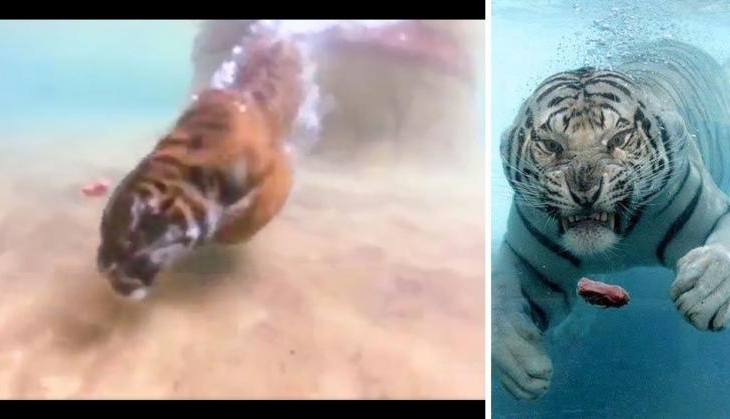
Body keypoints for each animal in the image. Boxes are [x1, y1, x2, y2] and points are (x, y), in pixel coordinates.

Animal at [96, 32, 309, 300]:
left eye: (172, 242)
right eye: (132, 223)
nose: (117, 275)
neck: (190, 168)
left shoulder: (278, 166)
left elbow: (262, 207)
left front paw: (229, 232)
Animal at [493, 39, 730, 400]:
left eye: (618, 139)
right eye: (551, 145)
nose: (585, 189)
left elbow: (720, 254)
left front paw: (705, 292)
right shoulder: (531, 263)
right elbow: (498, 298)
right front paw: (519, 363)